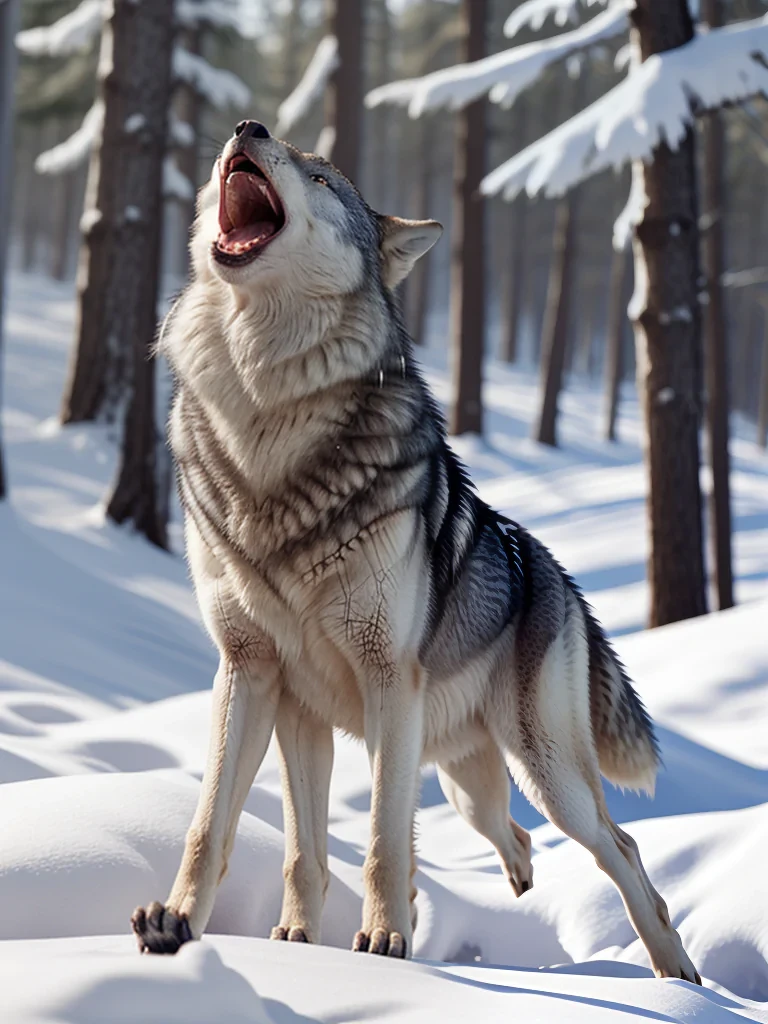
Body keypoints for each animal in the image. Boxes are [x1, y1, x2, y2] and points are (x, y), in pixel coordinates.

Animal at [131, 119, 699, 983]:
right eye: (275, 143)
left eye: (322, 176)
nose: (249, 128)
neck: (266, 416)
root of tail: (557, 574)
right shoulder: (259, 679)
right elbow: (243, 833)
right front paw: (199, 928)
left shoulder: (384, 679)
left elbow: (376, 842)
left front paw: (383, 947)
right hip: (466, 778)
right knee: (514, 835)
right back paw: (523, 884)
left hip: (545, 772)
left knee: (625, 851)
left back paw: (680, 979)